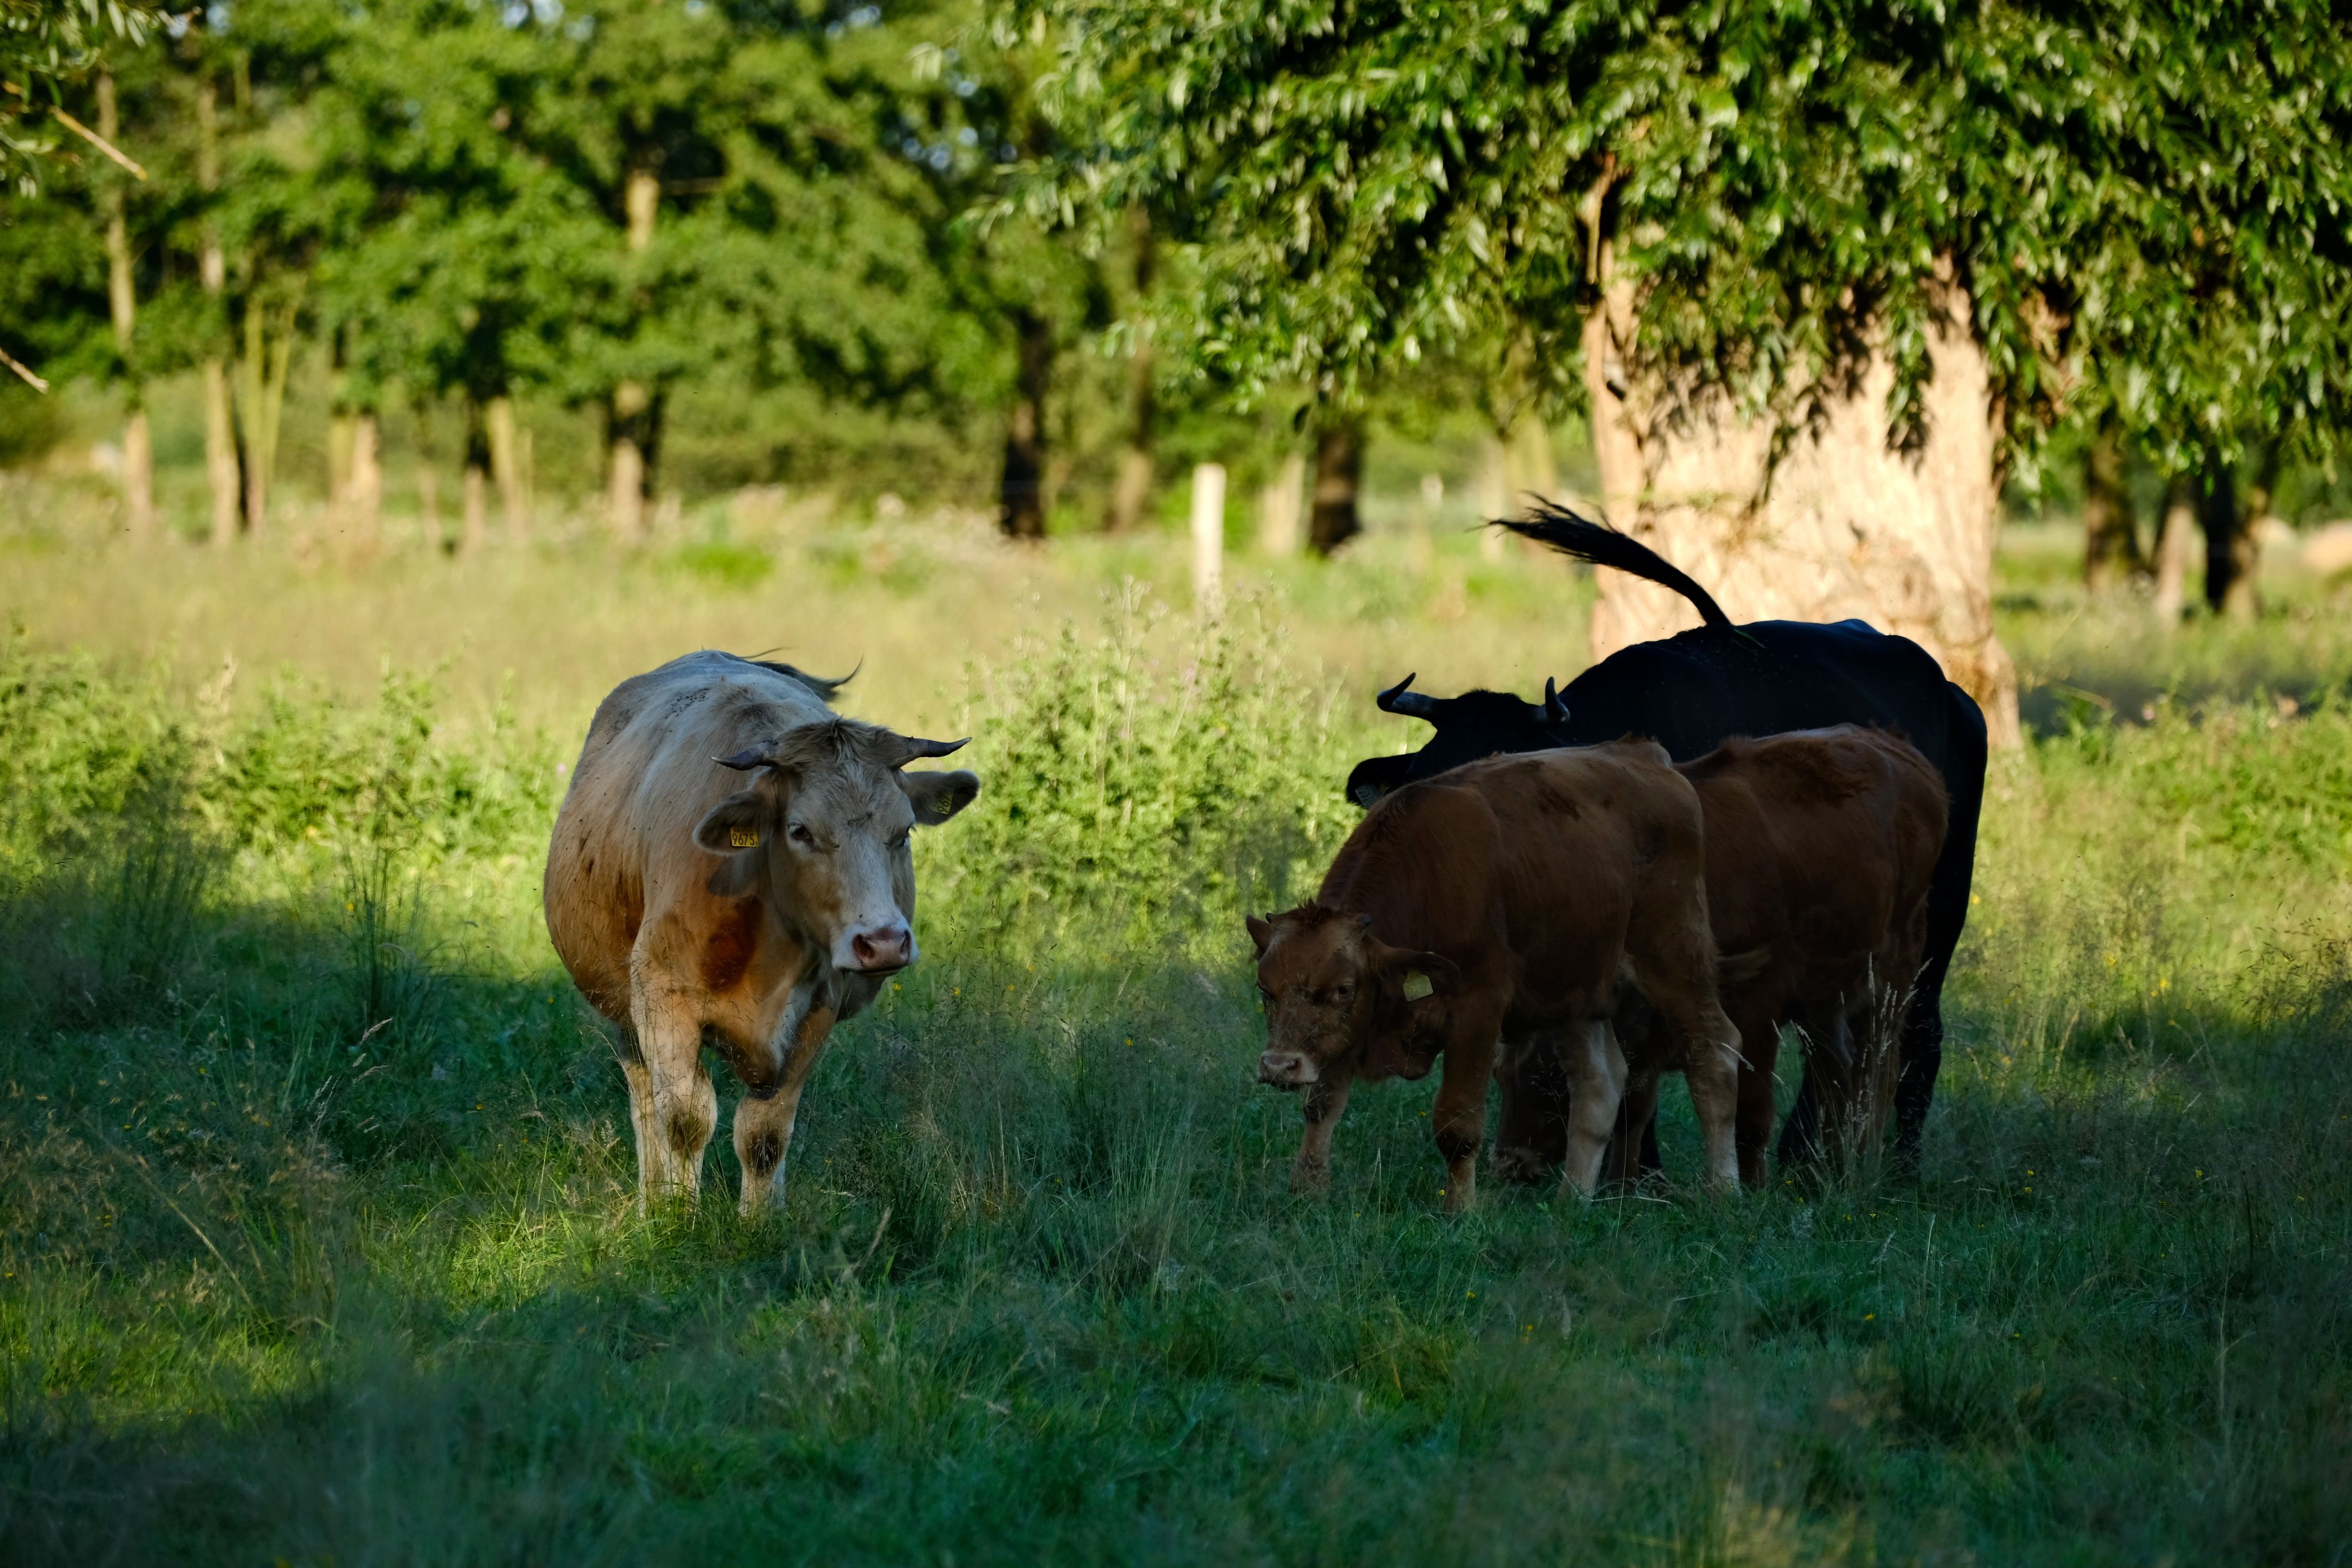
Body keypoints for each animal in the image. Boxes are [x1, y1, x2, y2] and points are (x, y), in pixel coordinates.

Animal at [544, 651, 980, 1214]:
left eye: (903, 831)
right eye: (800, 831)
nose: (883, 941)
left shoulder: (817, 1011)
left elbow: (765, 1135)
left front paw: (760, 1220)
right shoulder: (662, 998)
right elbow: (682, 1120)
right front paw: (678, 1217)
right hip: (620, 1005)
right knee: (643, 1100)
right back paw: (653, 1199)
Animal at [1247, 741, 1742, 1211]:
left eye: (1343, 990)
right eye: (1265, 990)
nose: (1279, 1066)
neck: (1427, 874)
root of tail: (1646, 756)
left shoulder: (1476, 1009)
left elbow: (1458, 1122)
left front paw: (1461, 1210)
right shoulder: (1352, 1031)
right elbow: (1321, 1107)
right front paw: (1308, 1191)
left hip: (1674, 960)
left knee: (1714, 1054)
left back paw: (1723, 1191)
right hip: (1578, 994)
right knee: (1600, 1083)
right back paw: (1571, 1203)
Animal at [1494, 727, 1948, 1188]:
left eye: (1552, 1079)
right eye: (1500, 1076)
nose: (1510, 1163)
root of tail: (1886, 740)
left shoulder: (1756, 1002)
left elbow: (1750, 1110)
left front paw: (1752, 1189)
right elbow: (1633, 1108)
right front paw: (1620, 1185)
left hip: (1894, 973)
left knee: (1879, 1070)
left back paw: (1865, 1163)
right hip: (1824, 995)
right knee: (1836, 1070)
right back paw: (1832, 1168)